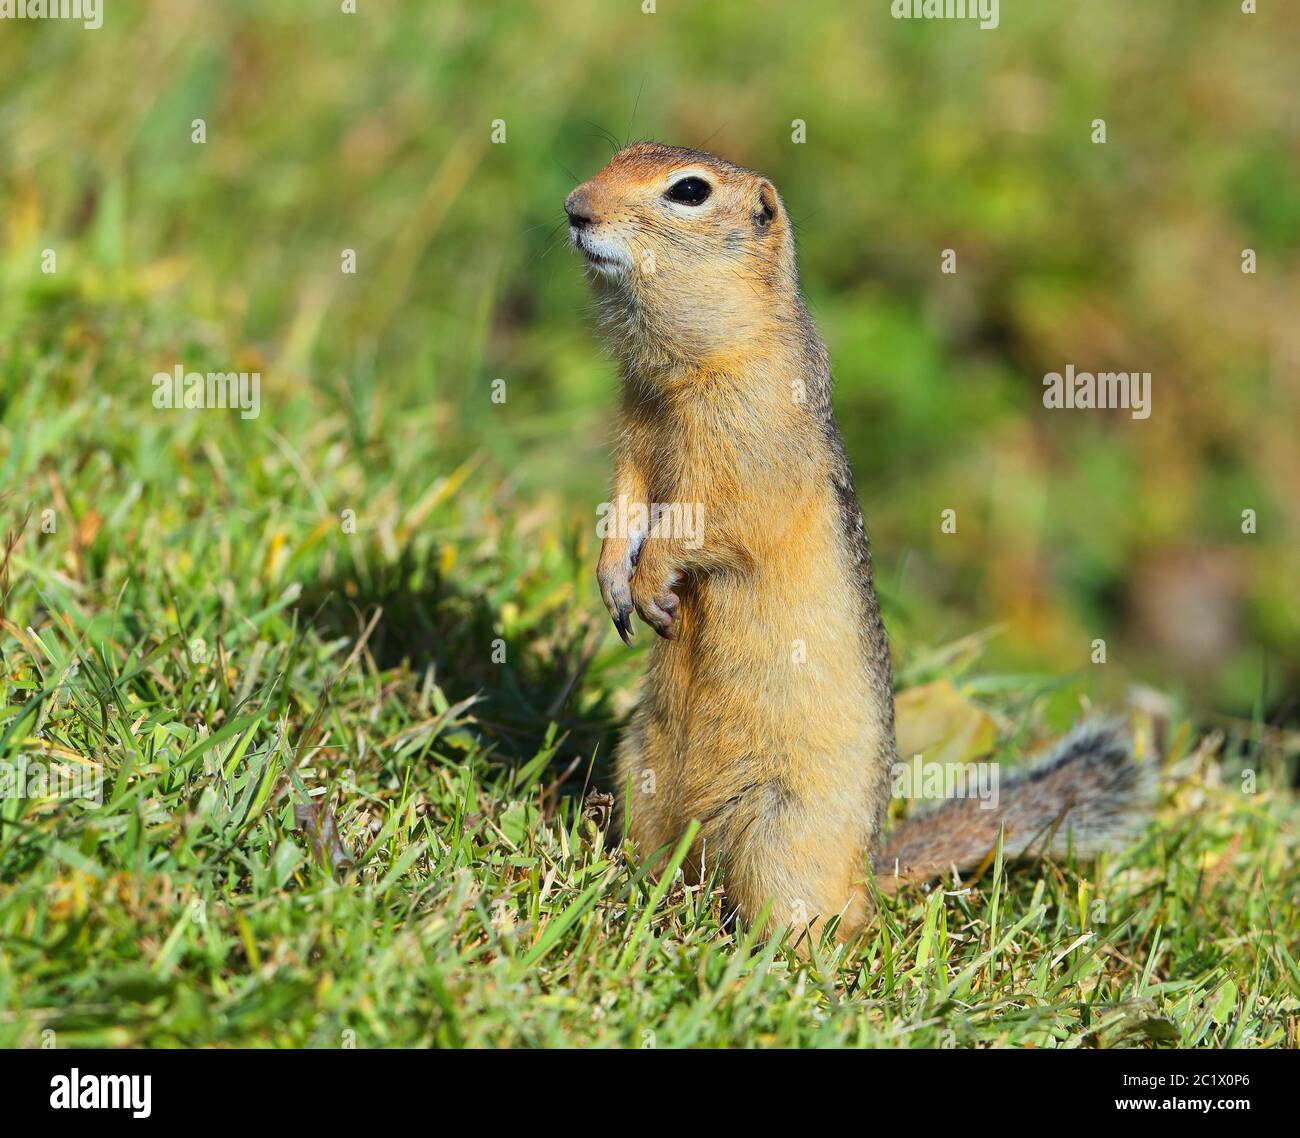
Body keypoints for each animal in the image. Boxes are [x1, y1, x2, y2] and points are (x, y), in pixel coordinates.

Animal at [566, 142, 1149, 942]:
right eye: (617, 155)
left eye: (688, 192)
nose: (575, 208)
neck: (687, 369)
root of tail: (869, 876)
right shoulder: (634, 434)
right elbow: (623, 505)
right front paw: (611, 579)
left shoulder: (744, 454)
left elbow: (709, 522)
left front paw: (652, 580)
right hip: (642, 771)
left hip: (784, 834)